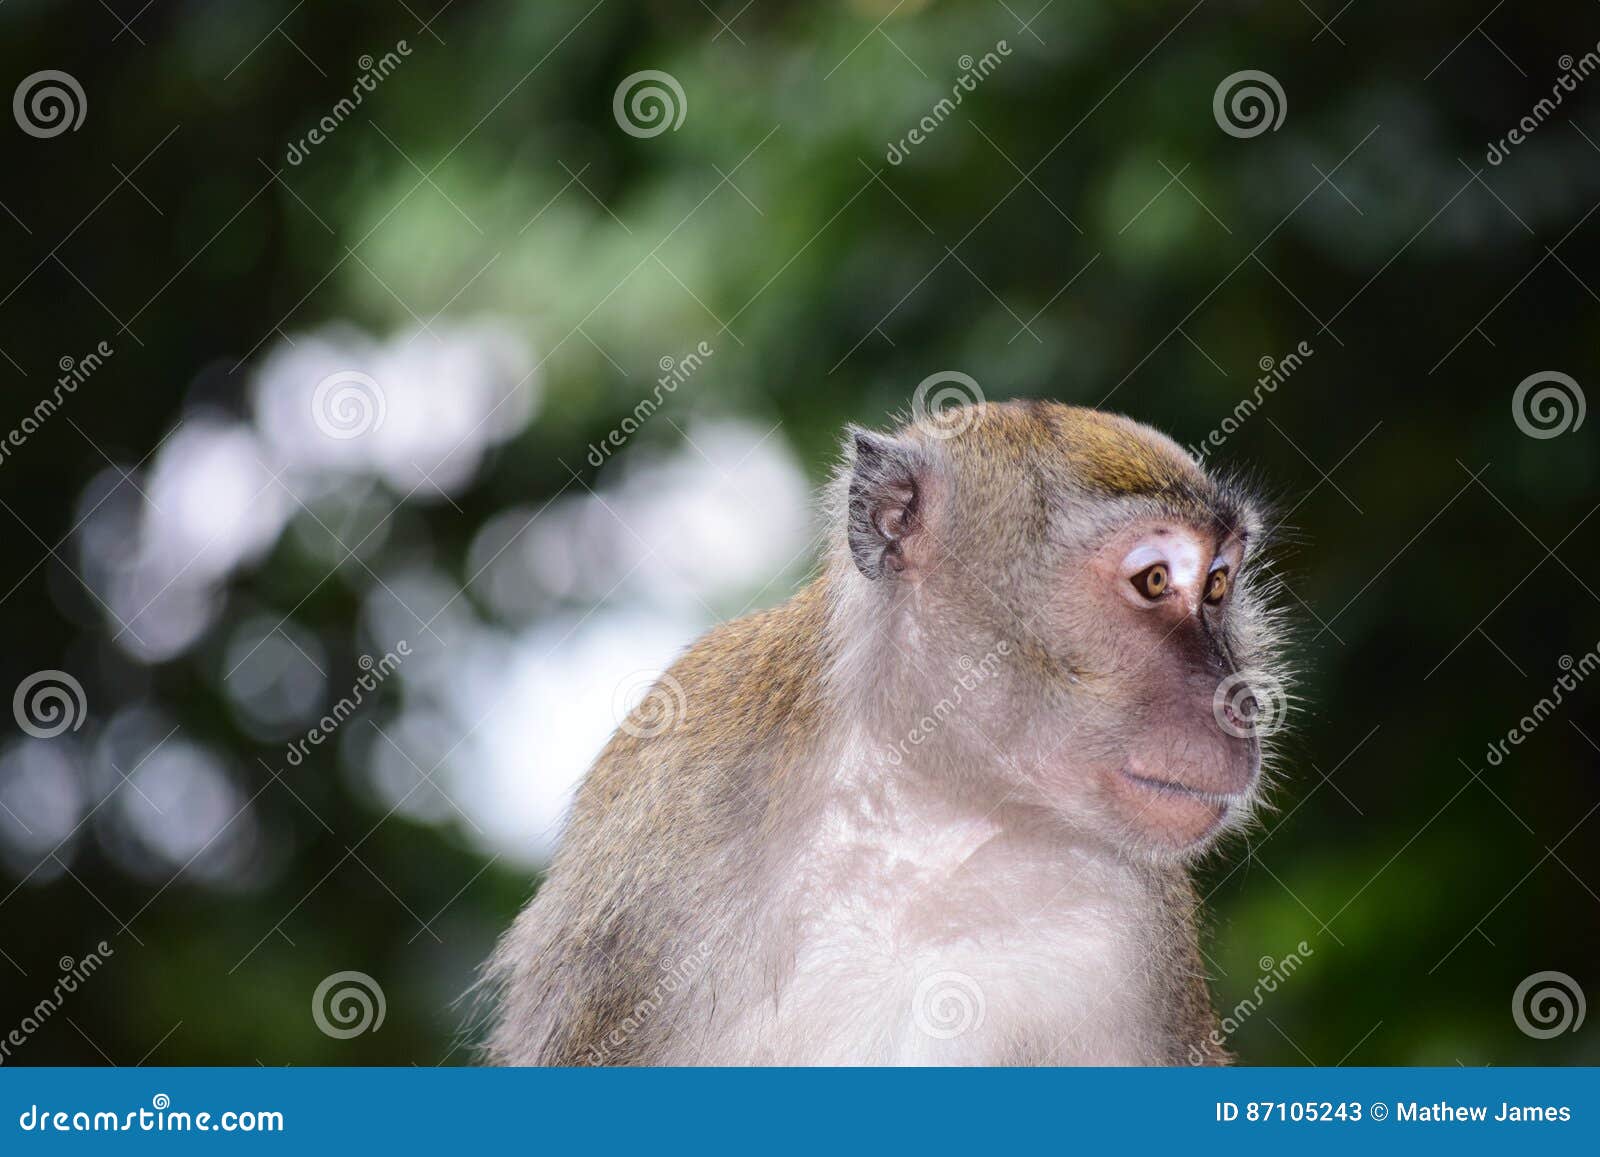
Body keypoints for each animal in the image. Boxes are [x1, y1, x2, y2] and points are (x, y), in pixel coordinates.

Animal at [482, 399, 1291, 1066]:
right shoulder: (660, 864)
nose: (1241, 703)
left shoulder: (1130, 930)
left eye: (1218, 585)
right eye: (1154, 580)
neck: (921, 814)